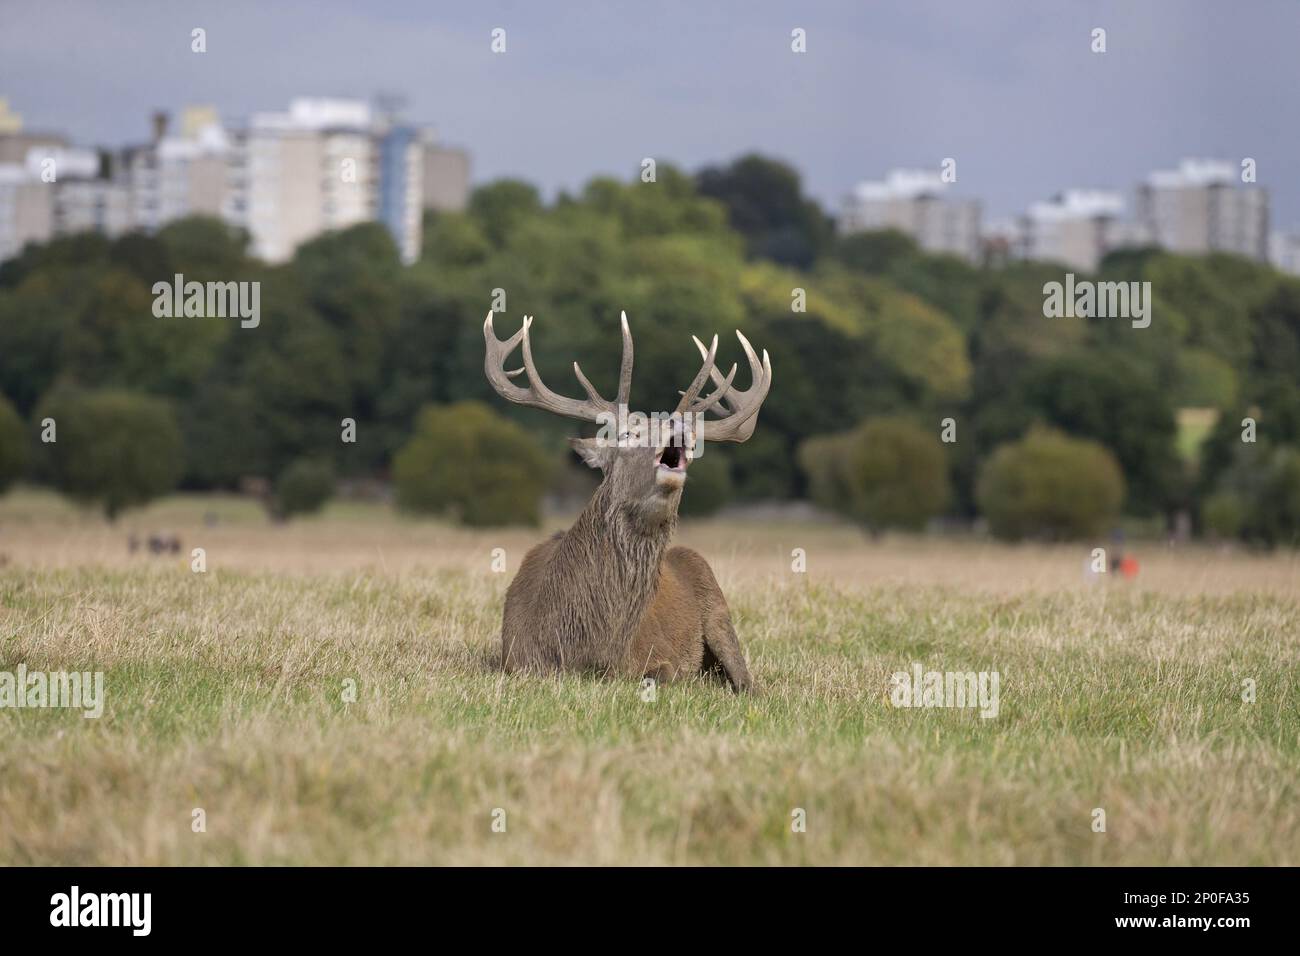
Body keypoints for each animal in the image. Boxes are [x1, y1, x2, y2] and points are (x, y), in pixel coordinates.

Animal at [483, 310, 772, 692]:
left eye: (695, 440)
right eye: (626, 434)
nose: (680, 430)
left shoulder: (656, 660)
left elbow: (663, 674)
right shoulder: (515, 659)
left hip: (720, 612)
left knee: (748, 682)